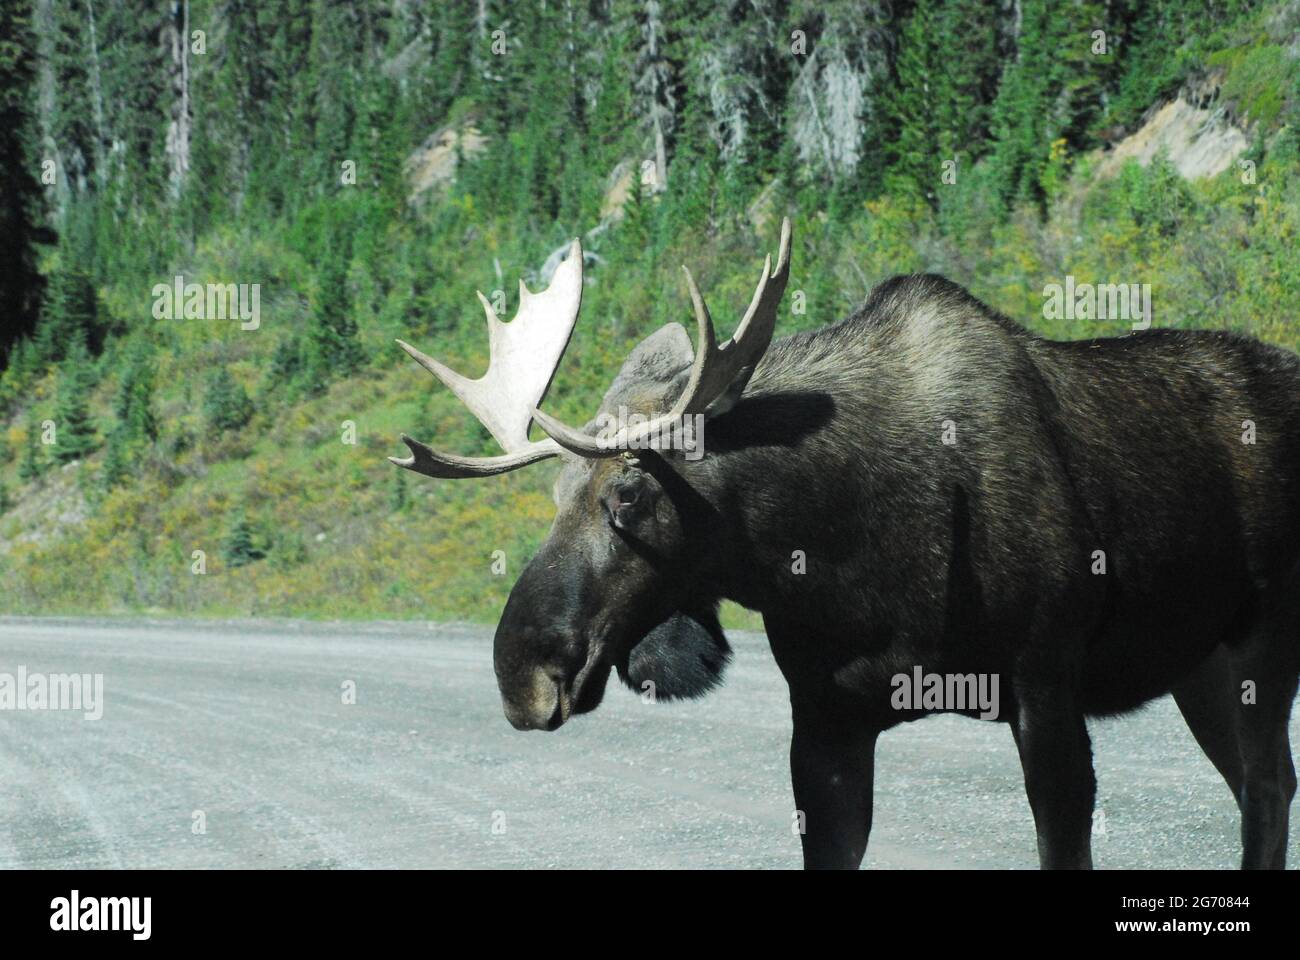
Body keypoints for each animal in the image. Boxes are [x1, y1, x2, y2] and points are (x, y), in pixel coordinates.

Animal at [391, 218, 1300, 869]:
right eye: (553, 498)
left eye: (627, 494)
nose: (522, 673)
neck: (841, 555)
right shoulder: (826, 720)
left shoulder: (1046, 685)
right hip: (1198, 665)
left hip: (1261, 643)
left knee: (1266, 786)